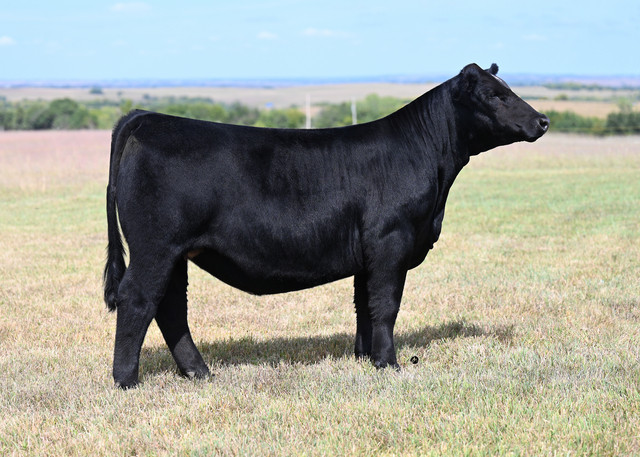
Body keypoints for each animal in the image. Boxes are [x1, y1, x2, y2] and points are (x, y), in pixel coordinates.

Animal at [104, 63, 549, 388]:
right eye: (494, 95)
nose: (543, 120)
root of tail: (146, 118)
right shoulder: (391, 242)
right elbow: (386, 304)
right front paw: (390, 364)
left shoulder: (368, 254)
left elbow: (364, 305)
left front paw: (367, 358)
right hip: (156, 246)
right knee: (138, 299)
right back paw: (127, 381)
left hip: (177, 252)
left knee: (171, 307)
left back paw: (199, 373)